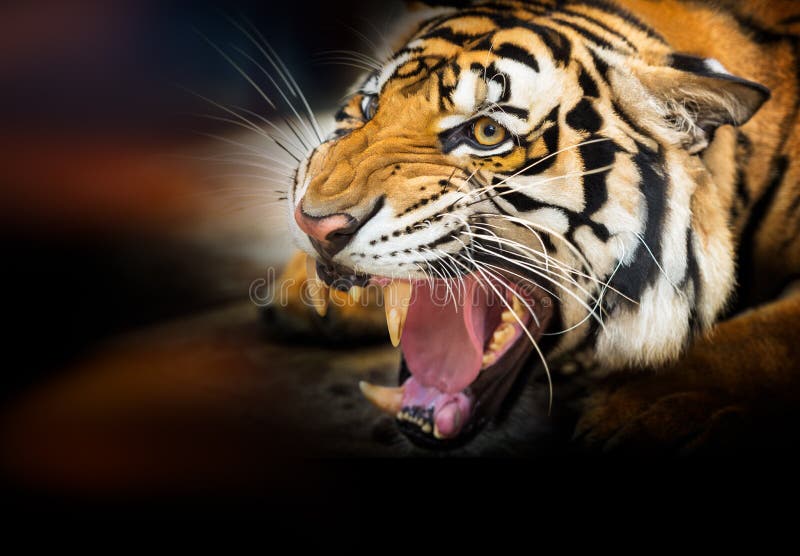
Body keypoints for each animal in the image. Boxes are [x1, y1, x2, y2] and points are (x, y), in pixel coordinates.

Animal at [269, 0, 800, 453]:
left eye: (487, 133)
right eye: (368, 108)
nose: (314, 224)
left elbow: (760, 332)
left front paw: (647, 409)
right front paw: (304, 289)